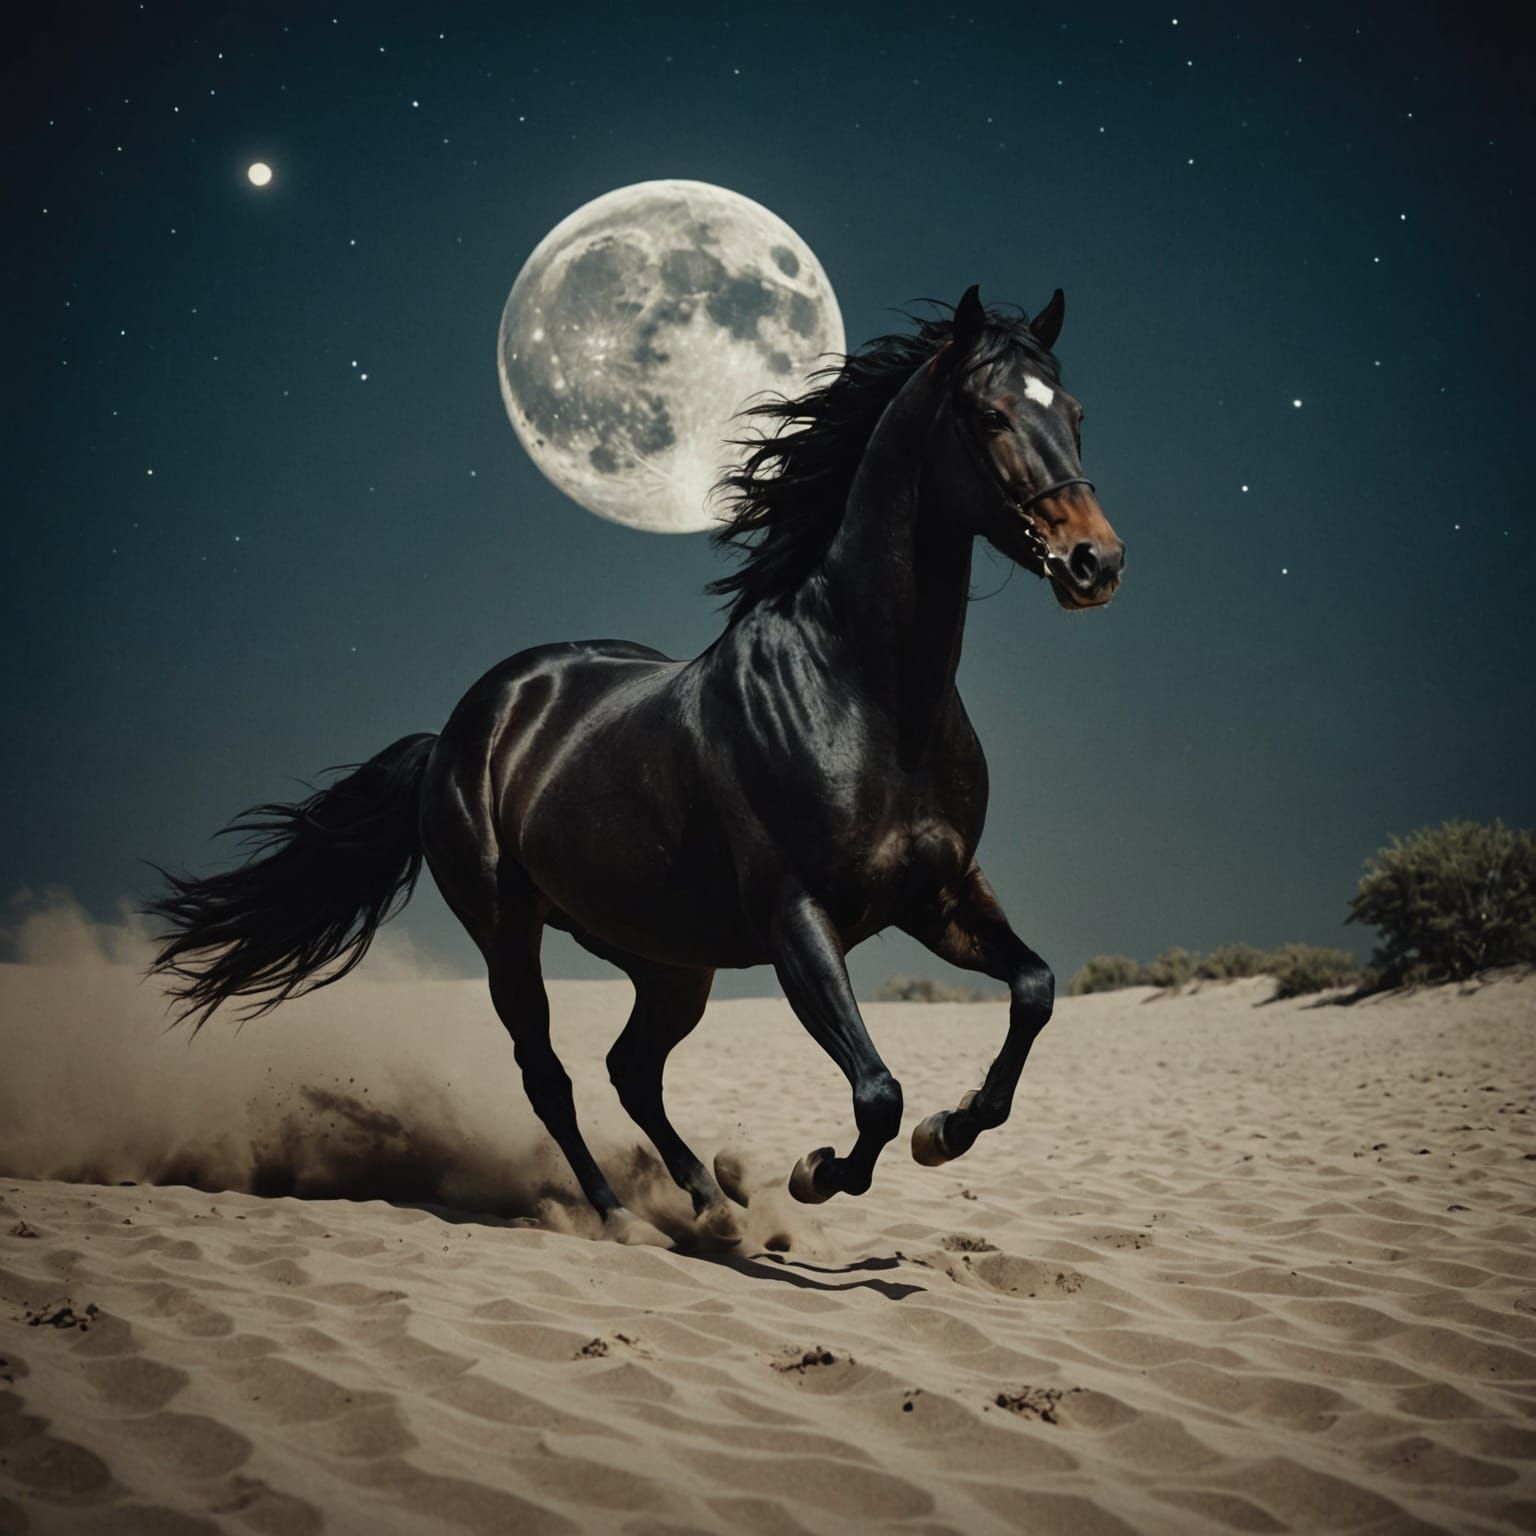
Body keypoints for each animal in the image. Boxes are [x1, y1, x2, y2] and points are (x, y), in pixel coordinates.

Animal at [146, 285, 1125, 1244]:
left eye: (1075, 412)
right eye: (989, 415)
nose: (1095, 562)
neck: (869, 695)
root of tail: (458, 732)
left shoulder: (940, 896)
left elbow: (1034, 990)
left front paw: (947, 1130)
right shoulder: (800, 922)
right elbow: (877, 1094)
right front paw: (815, 1174)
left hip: (667, 956)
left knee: (631, 1068)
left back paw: (713, 1206)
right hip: (510, 931)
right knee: (551, 1074)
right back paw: (623, 1216)